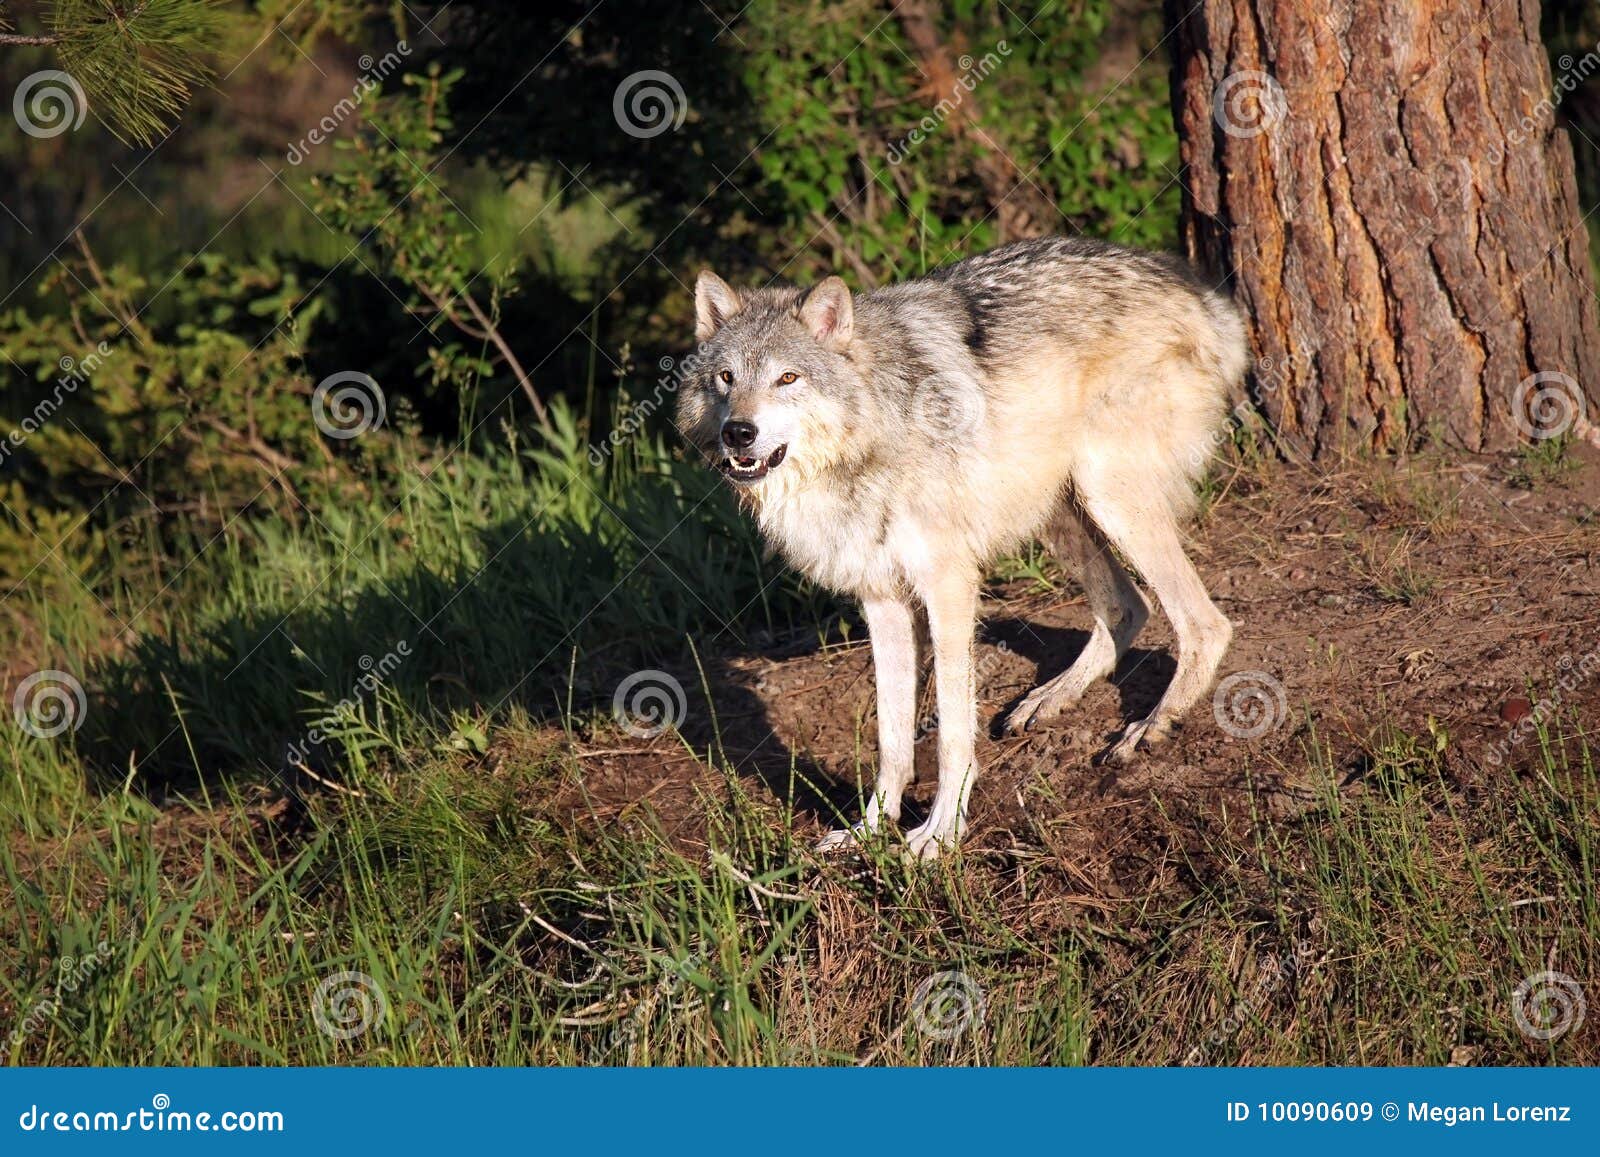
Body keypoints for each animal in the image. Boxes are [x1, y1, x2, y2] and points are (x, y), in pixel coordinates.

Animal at [677, 236, 1249, 859]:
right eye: (726, 378)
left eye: (787, 378)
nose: (739, 433)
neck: (867, 440)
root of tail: (1198, 289)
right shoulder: (881, 599)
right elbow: (891, 735)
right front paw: (870, 828)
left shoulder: (949, 585)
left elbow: (952, 729)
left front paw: (940, 832)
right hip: (1060, 506)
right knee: (1129, 607)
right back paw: (1050, 698)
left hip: (1108, 496)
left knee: (1205, 623)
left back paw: (1150, 726)